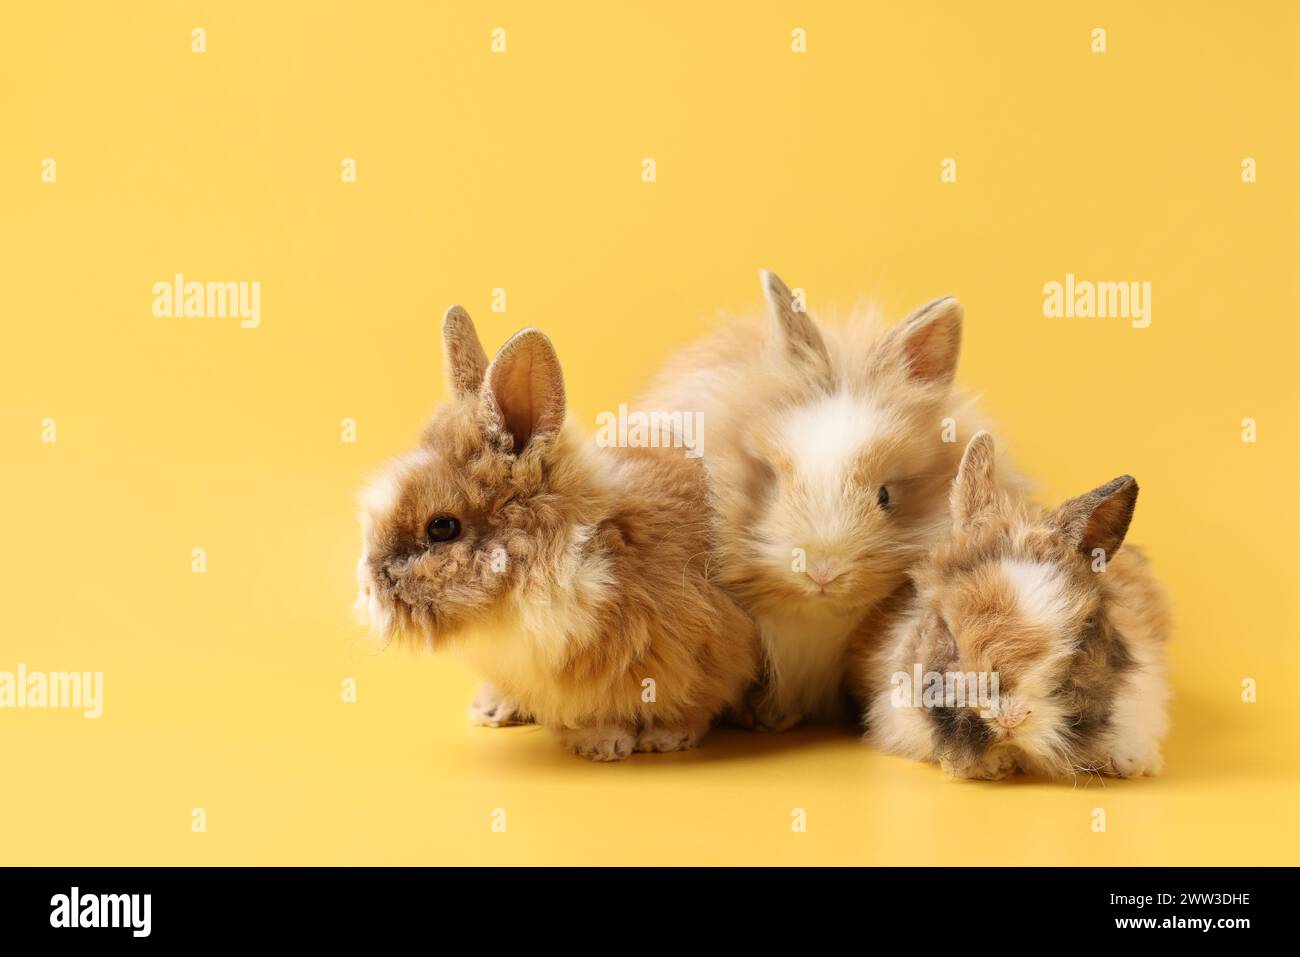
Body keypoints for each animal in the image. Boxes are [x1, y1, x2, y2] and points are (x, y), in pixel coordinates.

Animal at [354, 307, 761, 761]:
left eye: (442, 527)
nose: (368, 588)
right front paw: (603, 744)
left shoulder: (713, 645)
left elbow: (693, 705)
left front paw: (664, 740)